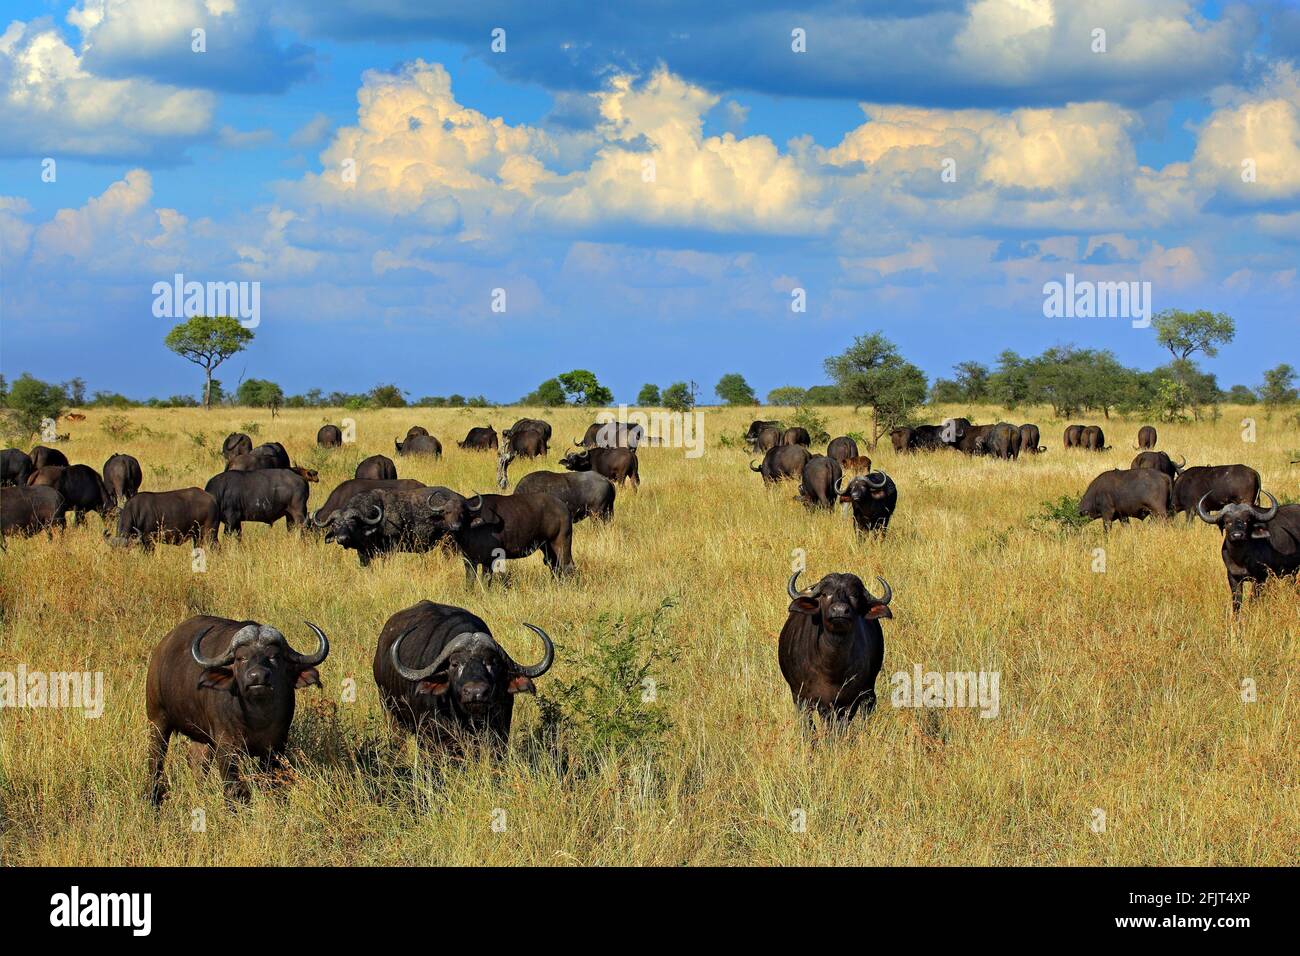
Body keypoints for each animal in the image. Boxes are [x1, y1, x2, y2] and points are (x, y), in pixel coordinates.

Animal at [146, 616, 328, 803]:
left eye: (274, 656)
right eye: (241, 658)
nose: (258, 676)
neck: (257, 718)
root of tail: (163, 647)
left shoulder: (276, 747)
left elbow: (271, 783)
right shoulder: (226, 747)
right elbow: (233, 787)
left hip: (201, 737)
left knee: (197, 763)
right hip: (158, 721)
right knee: (156, 760)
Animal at [779, 570, 893, 725]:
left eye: (854, 595)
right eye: (825, 594)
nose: (839, 610)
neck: (832, 665)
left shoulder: (850, 701)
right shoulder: (803, 698)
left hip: (868, 690)